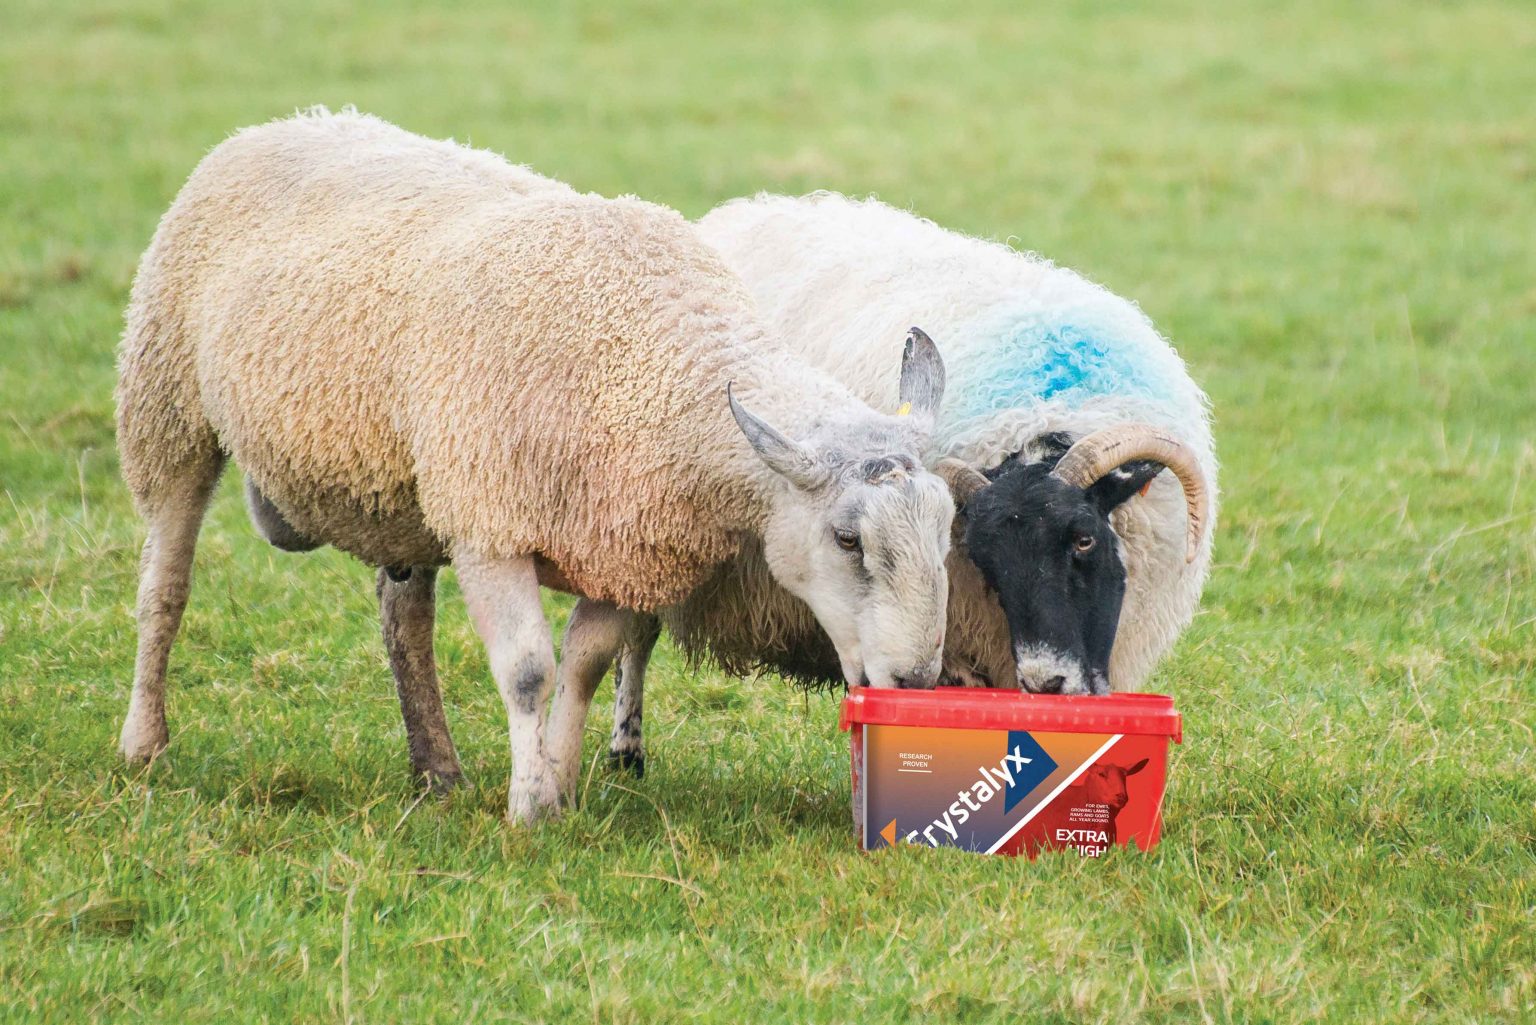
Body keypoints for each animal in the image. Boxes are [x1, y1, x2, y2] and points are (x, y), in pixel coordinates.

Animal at [114, 111, 957, 823]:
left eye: (948, 532)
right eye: (847, 540)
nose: (916, 682)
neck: (658, 364)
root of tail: (290, 120)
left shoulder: (626, 547)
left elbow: (585, 665)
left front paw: (559, 785)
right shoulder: (490, 523)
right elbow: (527, 670)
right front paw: (526, 807)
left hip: (408, 488)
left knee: (404, 618)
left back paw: (437, 769)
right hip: (168, 403)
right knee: (164, 586)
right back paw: (143, 742)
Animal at [596, 193, 1216, 772]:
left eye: (1084, 538)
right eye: (984, 561)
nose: (1045, 683)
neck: (1049, 410)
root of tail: (743, 212)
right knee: (635, 640)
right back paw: (627, 750)